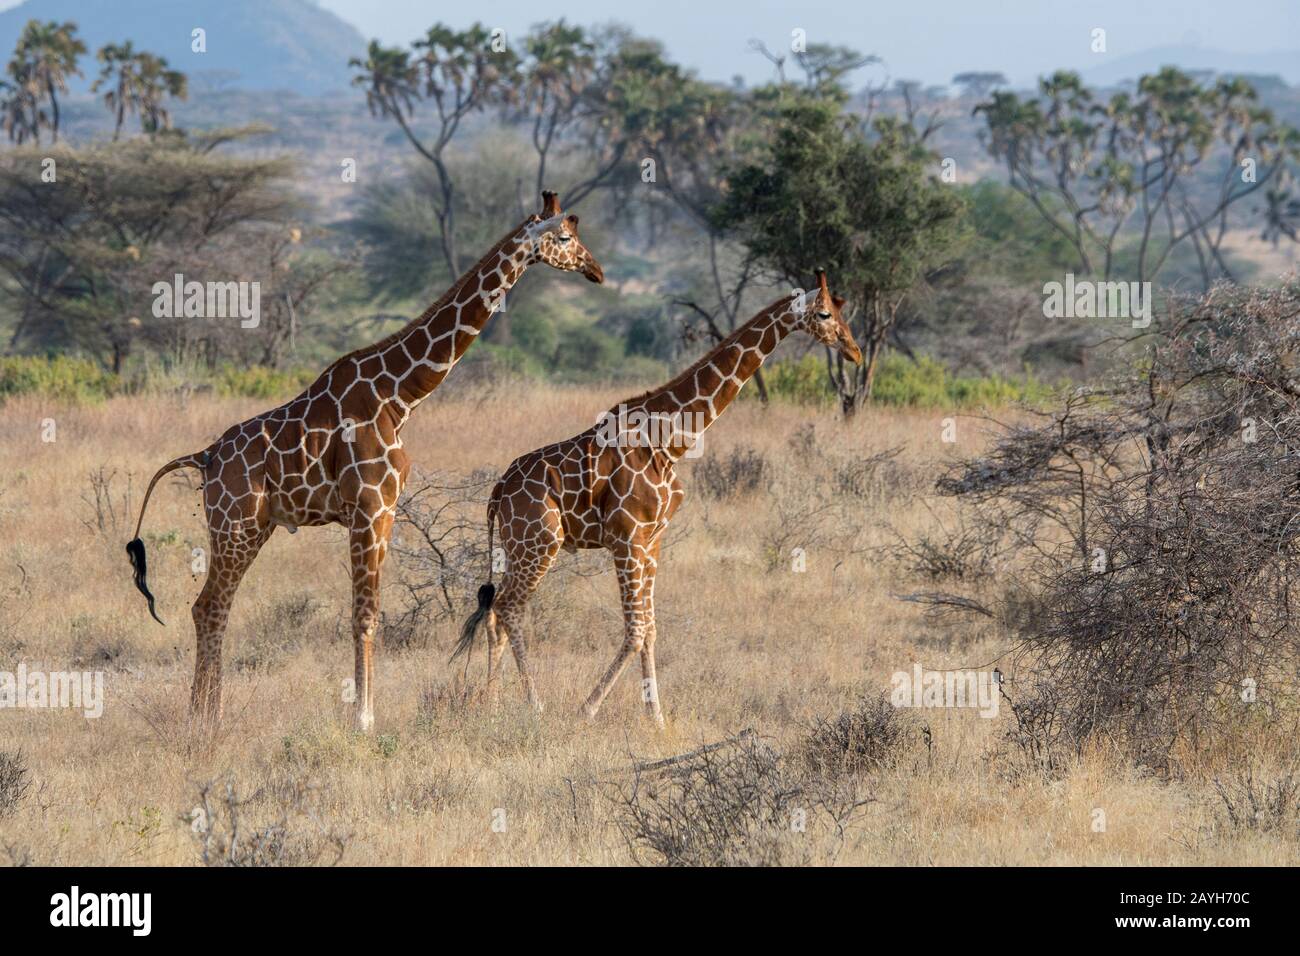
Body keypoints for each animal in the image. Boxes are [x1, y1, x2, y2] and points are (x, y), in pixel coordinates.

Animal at [125, 191, 603, 732]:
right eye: (564, 236)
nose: (596, 270)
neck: (401, 393)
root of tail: (205, 457)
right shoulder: (369, 507)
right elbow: (365, 614)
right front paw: (364, 719)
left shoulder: (386, 510)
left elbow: (372, 611)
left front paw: (367, 712)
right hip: (235, 524)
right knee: (208, 606)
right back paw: (206, 718)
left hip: (253, 526)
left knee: (213, 606)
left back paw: (209, 713)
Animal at [456, 269, 862, 725]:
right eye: (825, 313)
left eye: (842, 310)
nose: (854, 352)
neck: (671, 441)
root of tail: (497, 491)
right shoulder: (627, 539)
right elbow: (635, 631)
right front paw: (588, 708)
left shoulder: (652, 540)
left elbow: (650, 629)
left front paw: (657, 718)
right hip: (541, 542)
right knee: (509, 608)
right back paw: (535, 704)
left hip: (519, 545)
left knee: (494, 612)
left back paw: (490, 703)